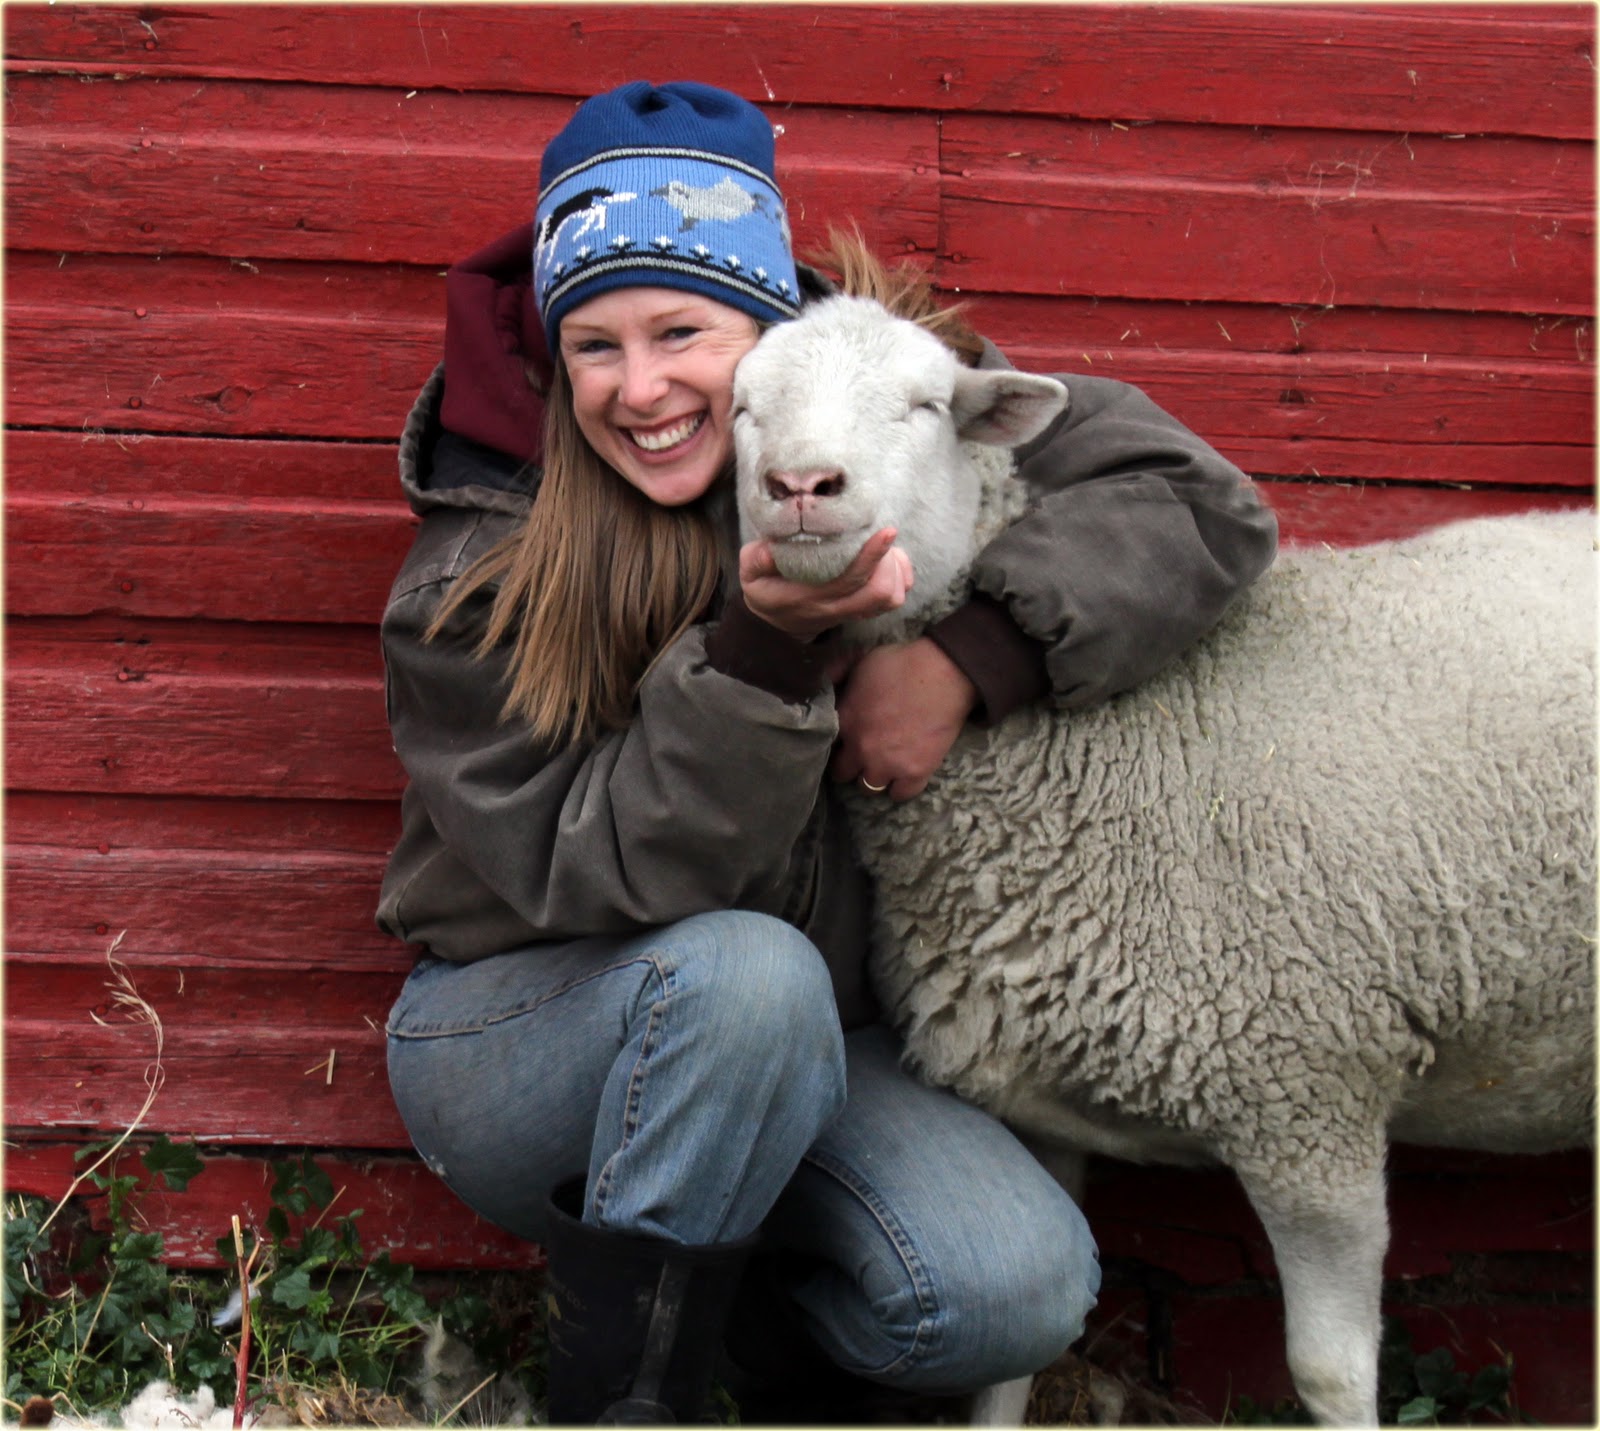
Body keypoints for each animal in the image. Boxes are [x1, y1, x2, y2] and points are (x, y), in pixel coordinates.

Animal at [732, 293, 1597, 1428]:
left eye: (926, 406)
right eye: (743, 410)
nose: (801, 488)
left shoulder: (1308, 1094)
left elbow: (1328, 1372)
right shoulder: (1044, 1112)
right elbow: (1017, 1357)